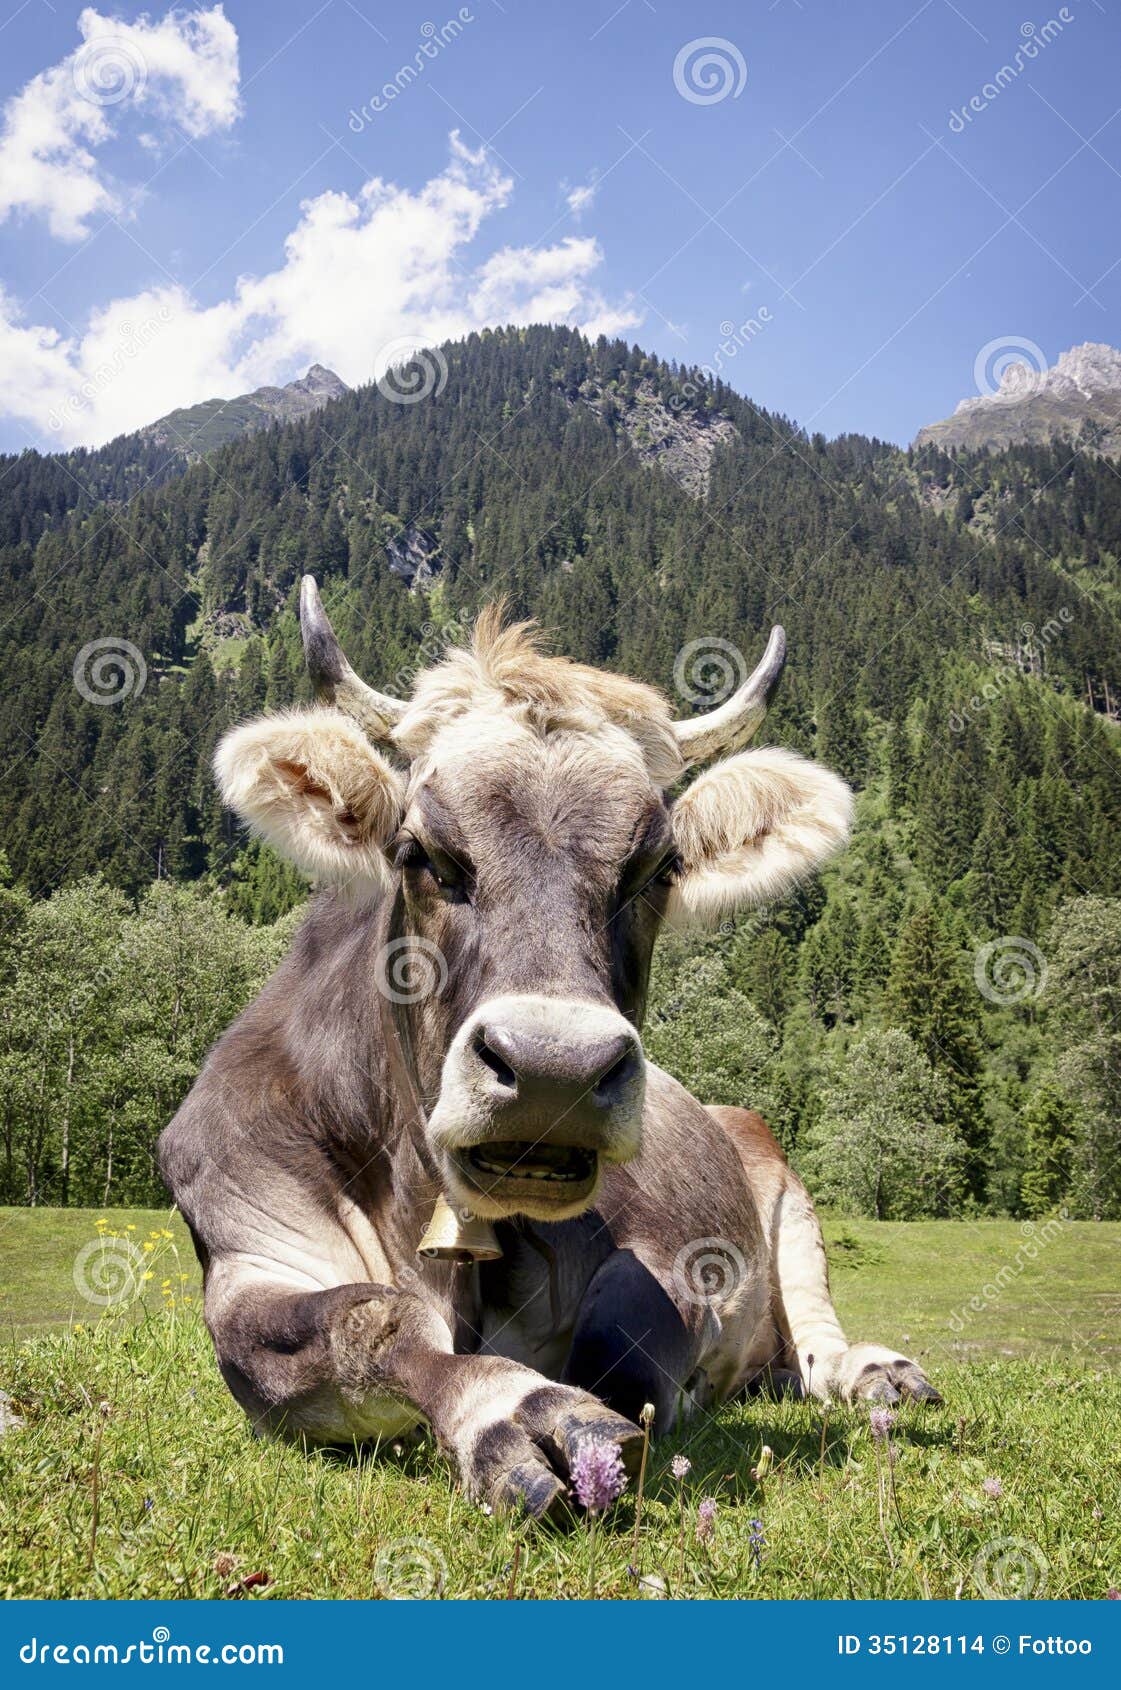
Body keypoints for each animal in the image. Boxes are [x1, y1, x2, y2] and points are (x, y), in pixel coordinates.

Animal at [159, 578, 940, 1520]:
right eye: (419, 853)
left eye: (658, 870)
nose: (550, 1068)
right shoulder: (249, 1251)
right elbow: (365, 1320)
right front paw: (508, 1406)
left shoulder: (669, 1258)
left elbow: (619, 1350)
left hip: (786, 1198)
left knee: (814, 1342)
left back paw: (874, 1373)